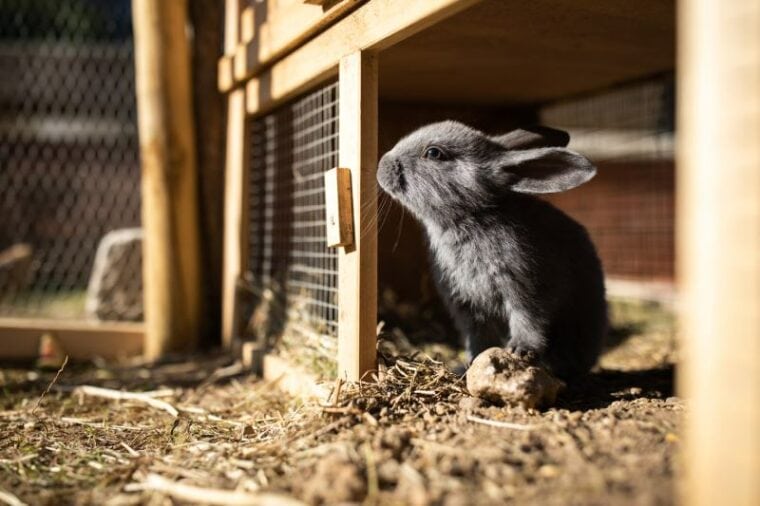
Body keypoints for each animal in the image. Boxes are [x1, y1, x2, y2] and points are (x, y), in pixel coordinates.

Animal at [376, 121, 607, 379]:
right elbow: (479, 340)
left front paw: (519, 351)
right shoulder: (468, 309)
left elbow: (528, 323)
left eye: (434, 153)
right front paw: (470, 364)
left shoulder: (527, 291)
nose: (382, 165)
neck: (469, 218)